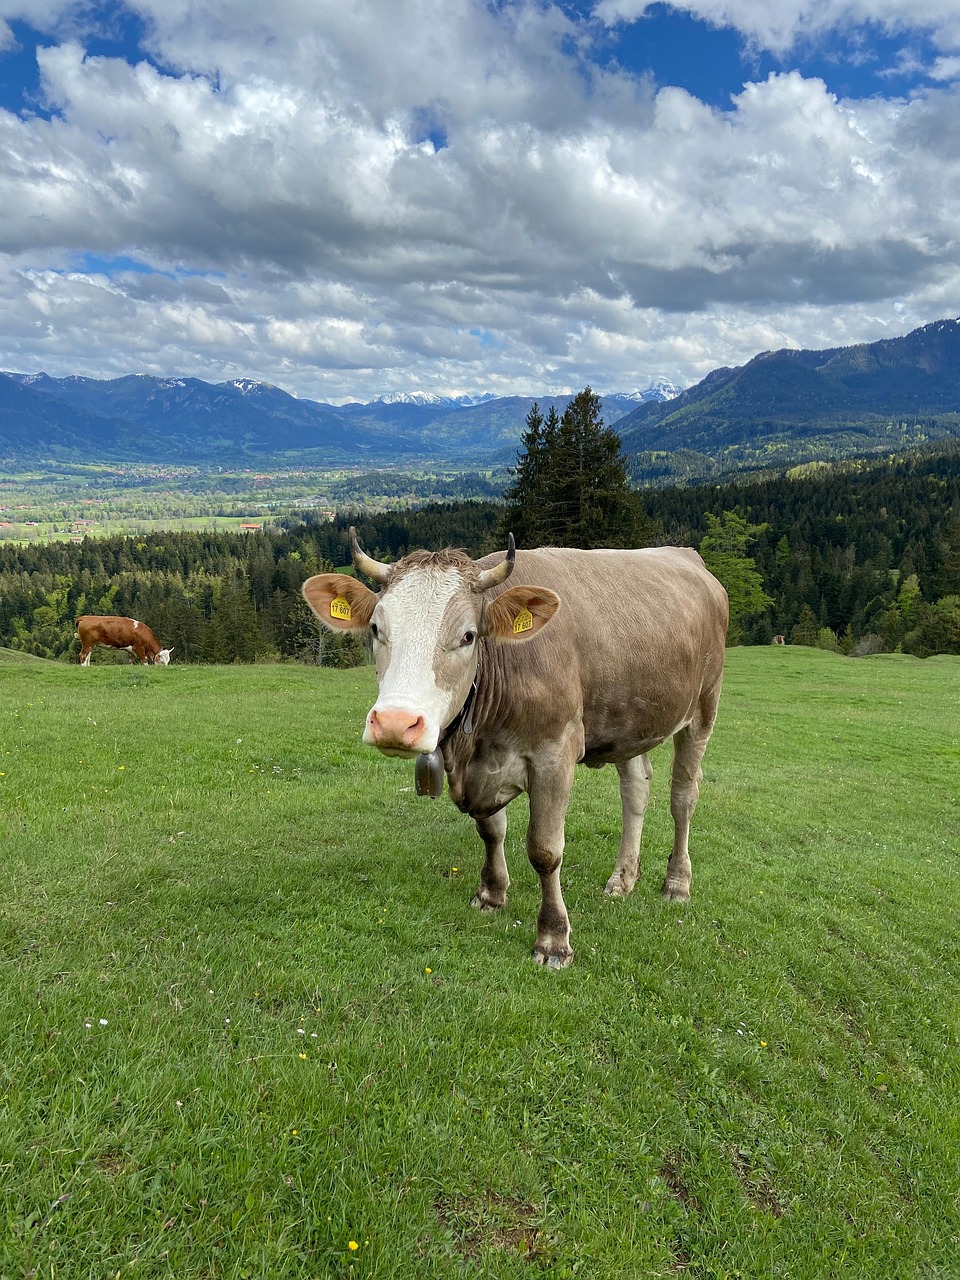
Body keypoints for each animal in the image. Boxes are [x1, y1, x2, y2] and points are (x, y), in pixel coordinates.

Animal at [302, 531, 728, 967]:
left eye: (468, 636)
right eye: (375, 629)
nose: (394, 723)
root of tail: (687, 556)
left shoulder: (555, 755)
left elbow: (545, 850)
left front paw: (553, 938)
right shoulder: (485, 764)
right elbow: (491, 831)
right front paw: (491, 894)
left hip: (704, 707)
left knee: (683, 796)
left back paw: (677, 883)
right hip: (628, 721)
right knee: (636, 789)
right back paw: (622, 879)